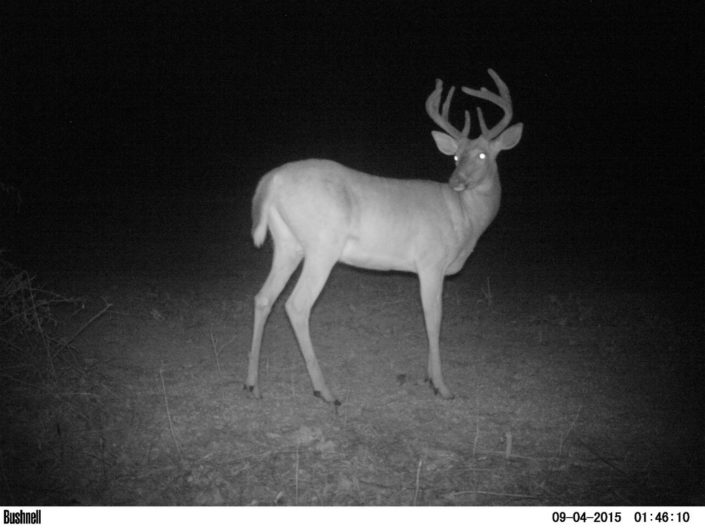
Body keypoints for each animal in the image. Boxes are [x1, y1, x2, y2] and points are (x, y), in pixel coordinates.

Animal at [245, 69, 523, 406]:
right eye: (456, 157)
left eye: (482, 154)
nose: (456, 180)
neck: (464, 218)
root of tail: (270, 181)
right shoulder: (430, 262)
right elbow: (434, 318)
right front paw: (441, 386)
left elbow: (429, 317)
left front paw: (428, 377)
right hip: (322, 246)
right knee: (297, 305)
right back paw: (325, 390)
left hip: (288, 244)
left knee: (264, 297)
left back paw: (252, 385)